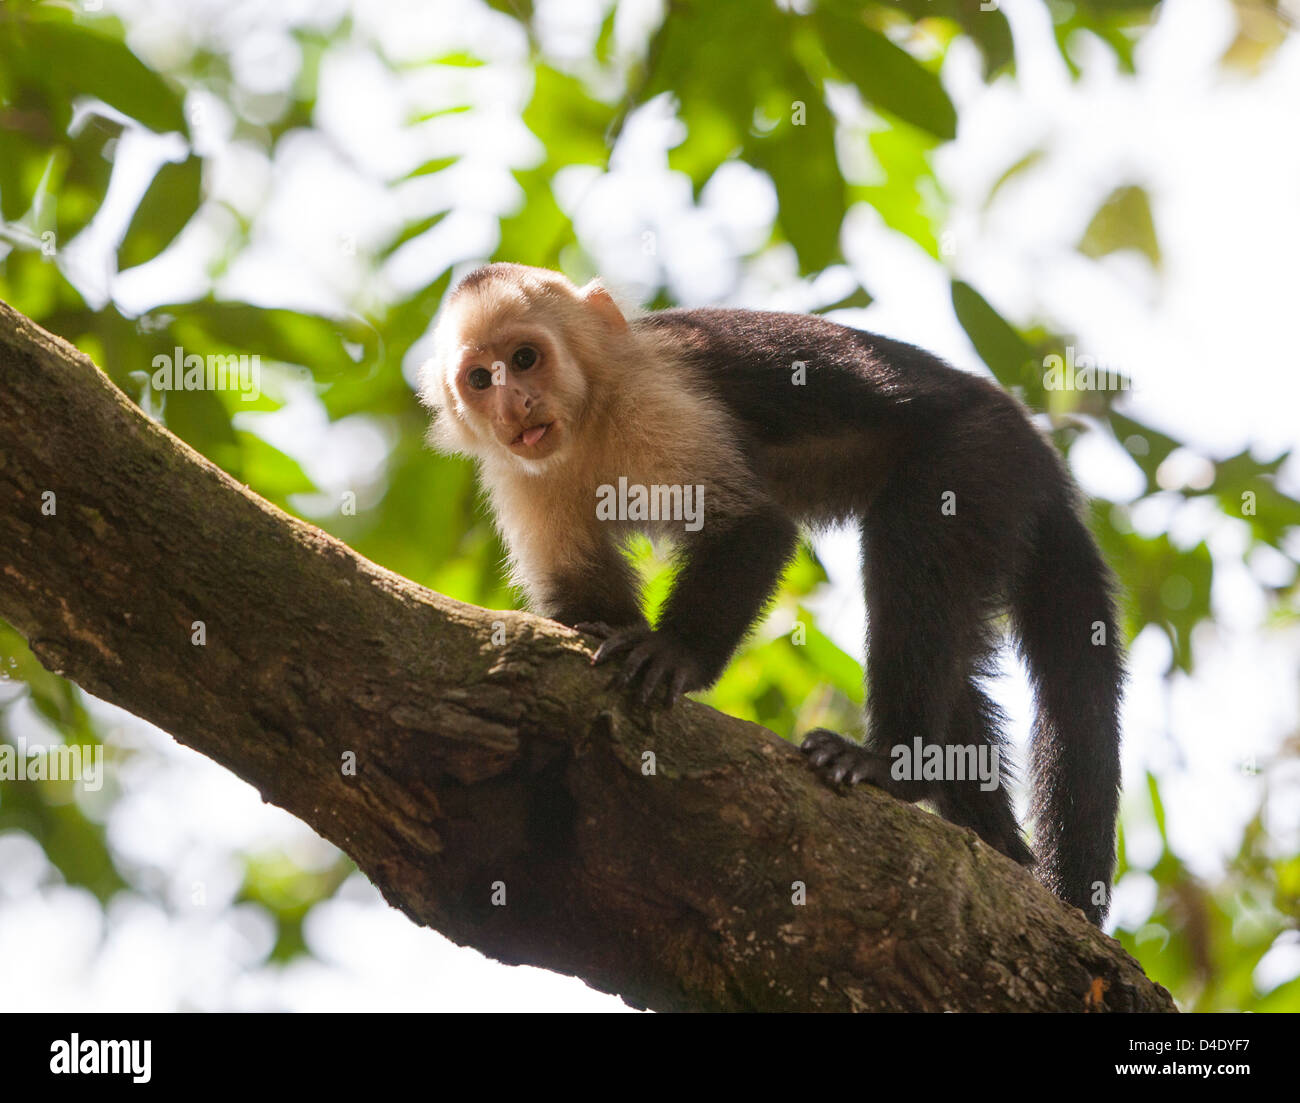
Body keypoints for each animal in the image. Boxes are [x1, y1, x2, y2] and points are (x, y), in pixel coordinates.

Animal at [419, 262, 1124, 927]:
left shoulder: (656, 401)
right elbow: (581, 594)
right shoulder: (520, 473)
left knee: (910, 553)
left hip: (978, 457)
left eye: (525, 359)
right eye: (480, 379)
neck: (589, 423)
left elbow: (754, 526)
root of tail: (1030, 437)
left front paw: (672, 653)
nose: (514, 402)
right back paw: (997, 844)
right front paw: (603, 634)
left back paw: (894, 766)